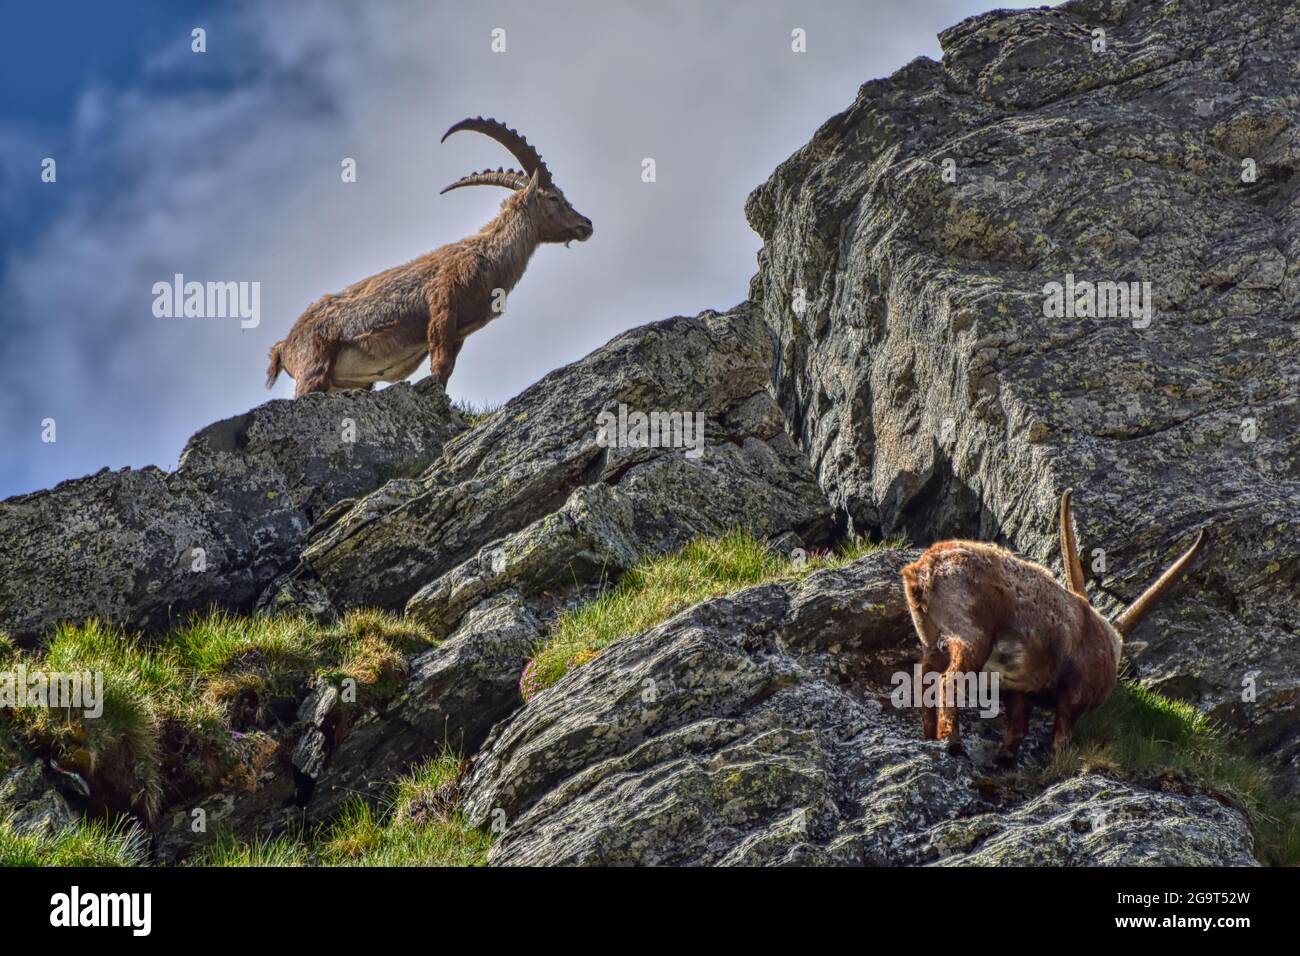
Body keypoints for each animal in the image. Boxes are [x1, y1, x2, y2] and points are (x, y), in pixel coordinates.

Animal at [266, 118, 592, 397]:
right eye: (554, 198)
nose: (586, 224)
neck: (486, 255)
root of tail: (284, 345)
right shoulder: (441, 312)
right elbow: (440, 368)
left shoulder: (459, 333)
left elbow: (447, 371)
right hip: (313, 369)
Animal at [900, 491, 1206, 760]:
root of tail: (925, 569)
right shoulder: (1074, 694)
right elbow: (1061, 729)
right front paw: (1058, 758)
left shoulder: (1019, 688)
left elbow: (1017, 726)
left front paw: (1005, 758)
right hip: (971, 637)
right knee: (948, 682)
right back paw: (953, 743)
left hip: (931, 638)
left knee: (925, 679)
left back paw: (929, 736)